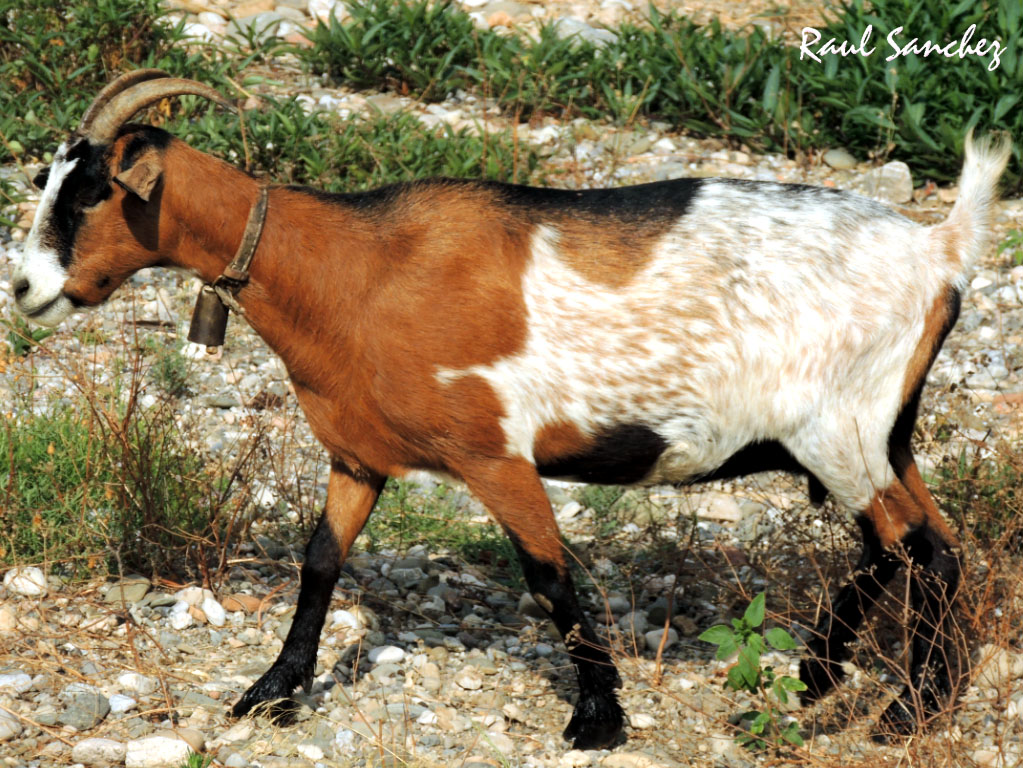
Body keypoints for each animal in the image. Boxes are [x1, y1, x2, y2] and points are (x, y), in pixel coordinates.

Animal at [11, 70, 1012, 749]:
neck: (351, 272)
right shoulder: (357, 456)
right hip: (876, 435)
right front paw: (275, 690)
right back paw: (830, 680)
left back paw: (900, 712)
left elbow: (549, 575)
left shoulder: (494, 455)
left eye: (91, 192)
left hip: (837, 432)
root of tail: (940, 249)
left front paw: (598, 719)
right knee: (907, 546)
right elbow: (321, 562)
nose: (23, 289)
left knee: (922, 554)